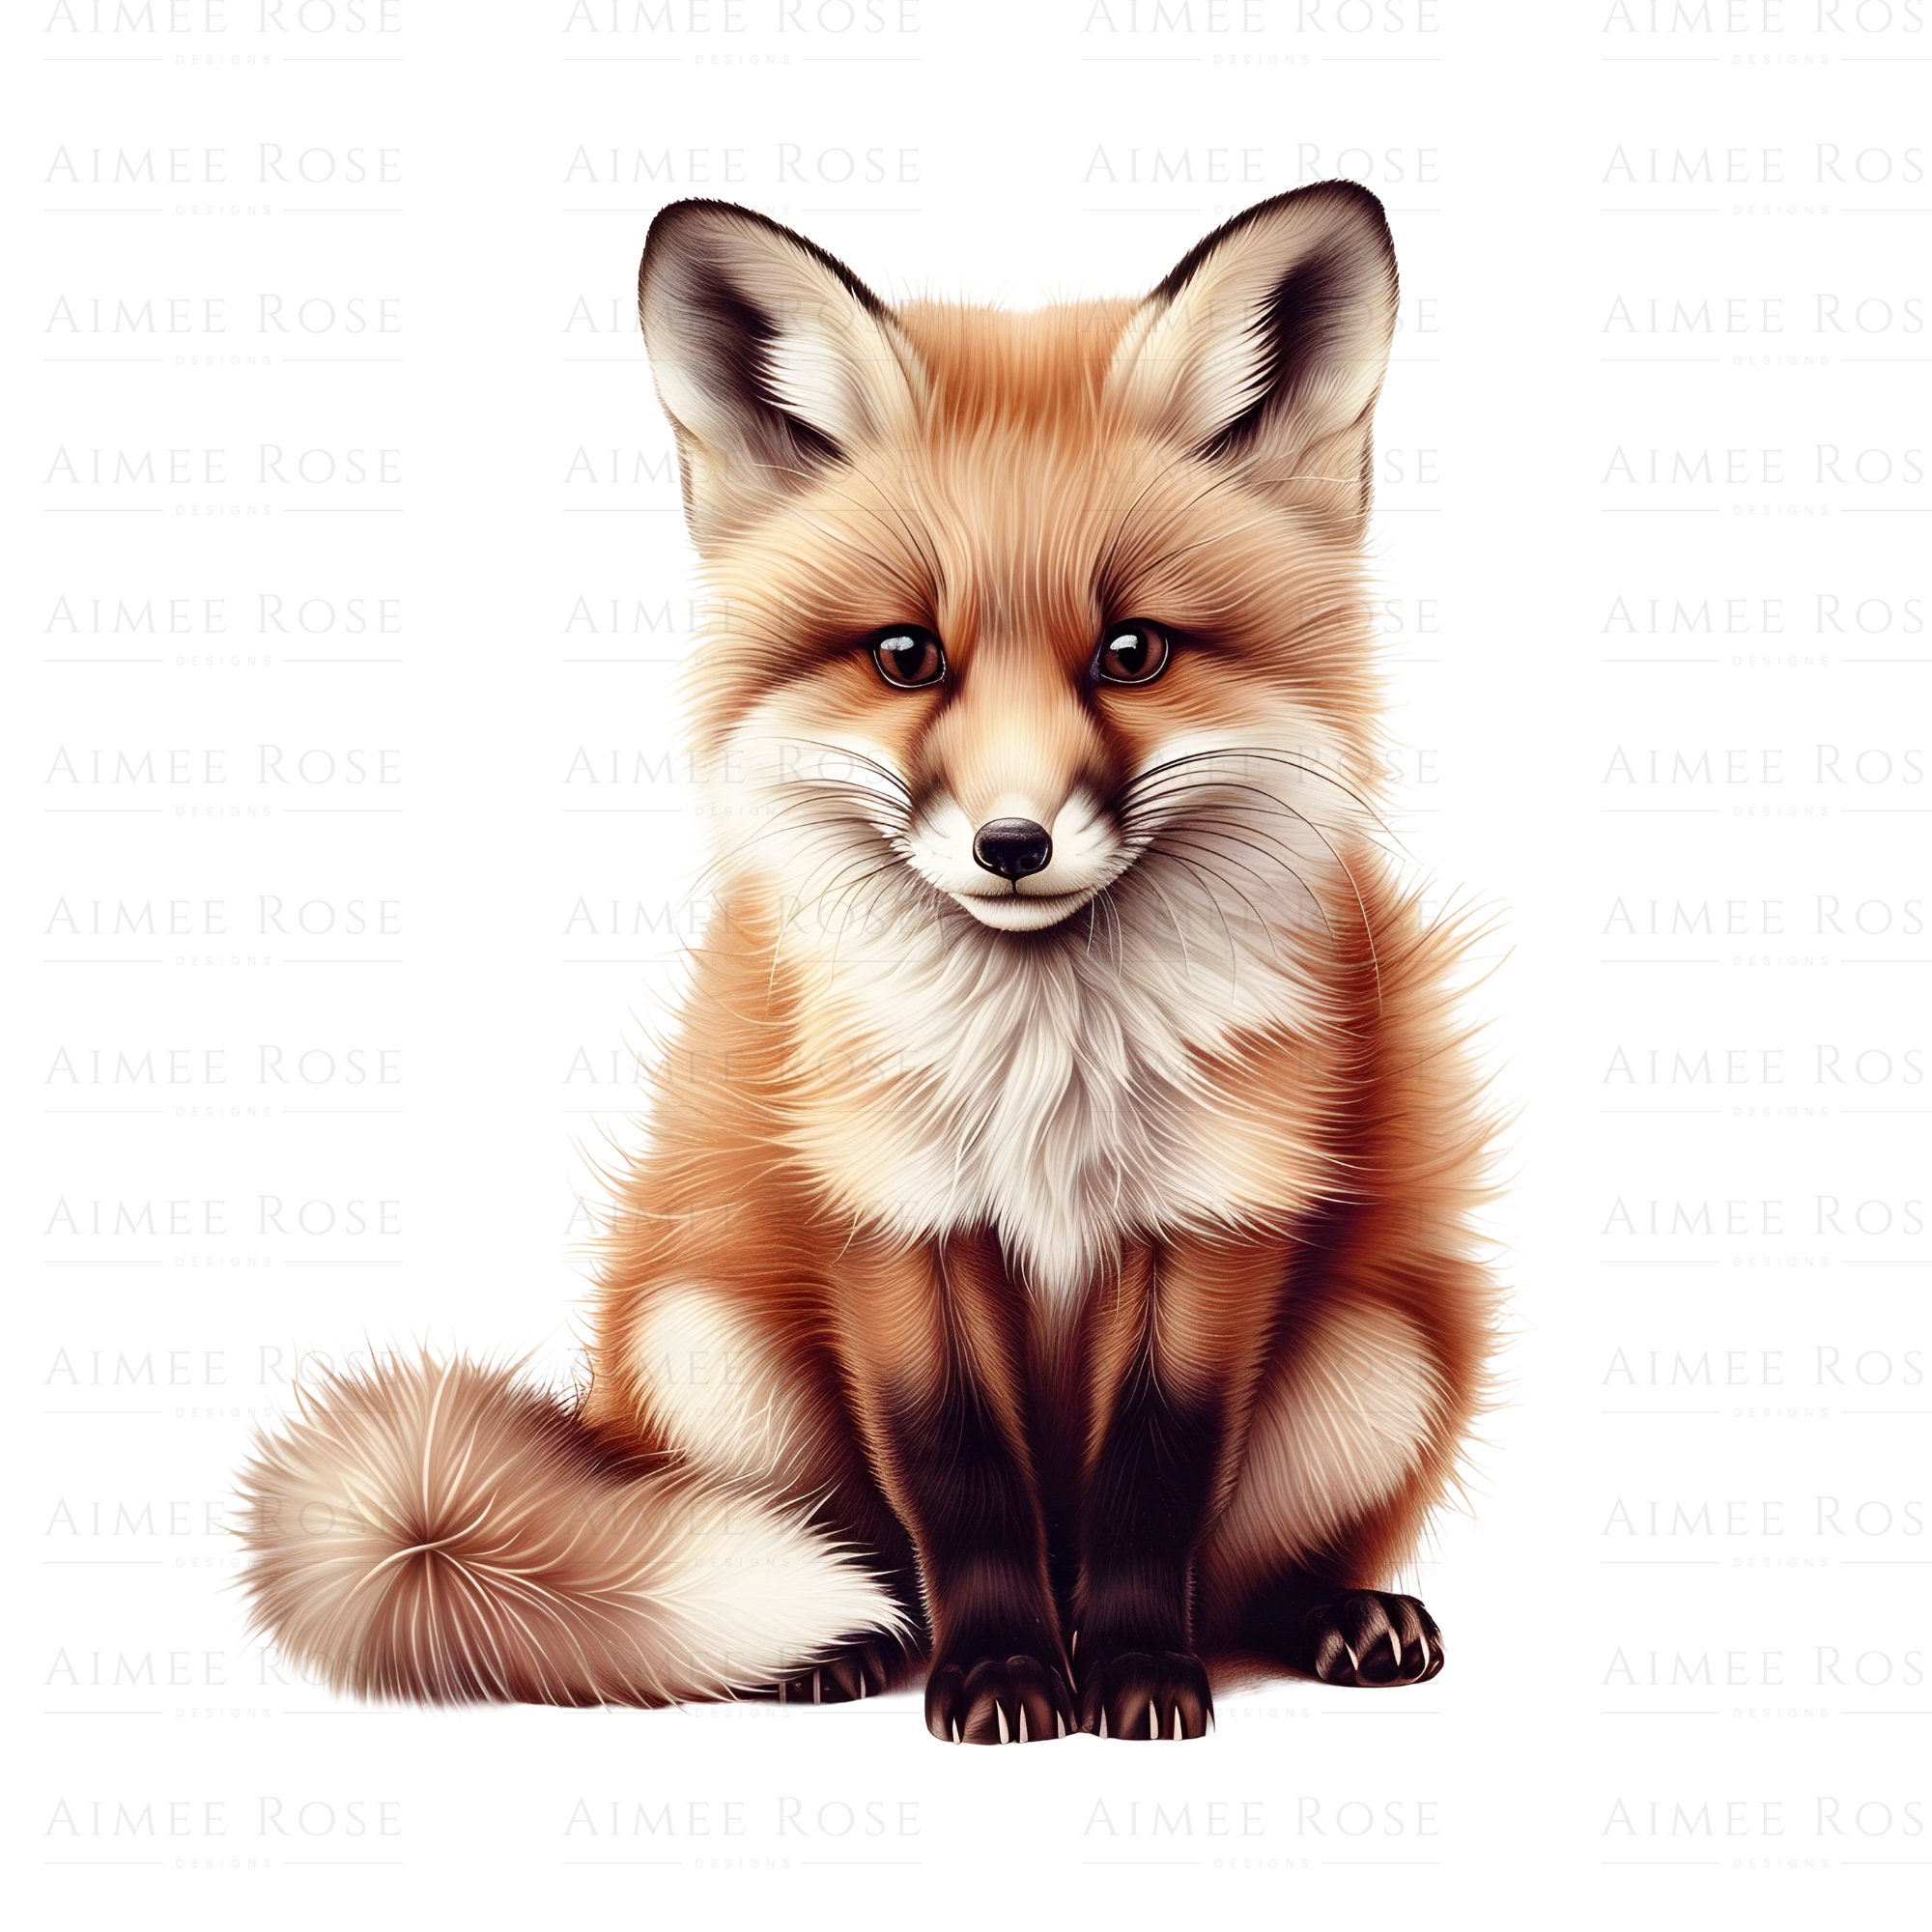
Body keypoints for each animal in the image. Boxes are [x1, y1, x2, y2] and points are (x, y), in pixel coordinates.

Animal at [237, 182, 1497, 1744]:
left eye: (1131, 652)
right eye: (906, 655)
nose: (1012, 843)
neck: (1041, 1069)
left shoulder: (1215, 1218)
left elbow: (1155, 1483)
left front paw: (1136, 1673)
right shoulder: (888, 1218)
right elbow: (955, 1476)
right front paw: (1005, 1675)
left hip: (1388, 1351)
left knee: (1249, 1564)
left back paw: (1333, 1611)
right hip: (705, 1344)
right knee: (849, 1547)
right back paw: (836, 1648)